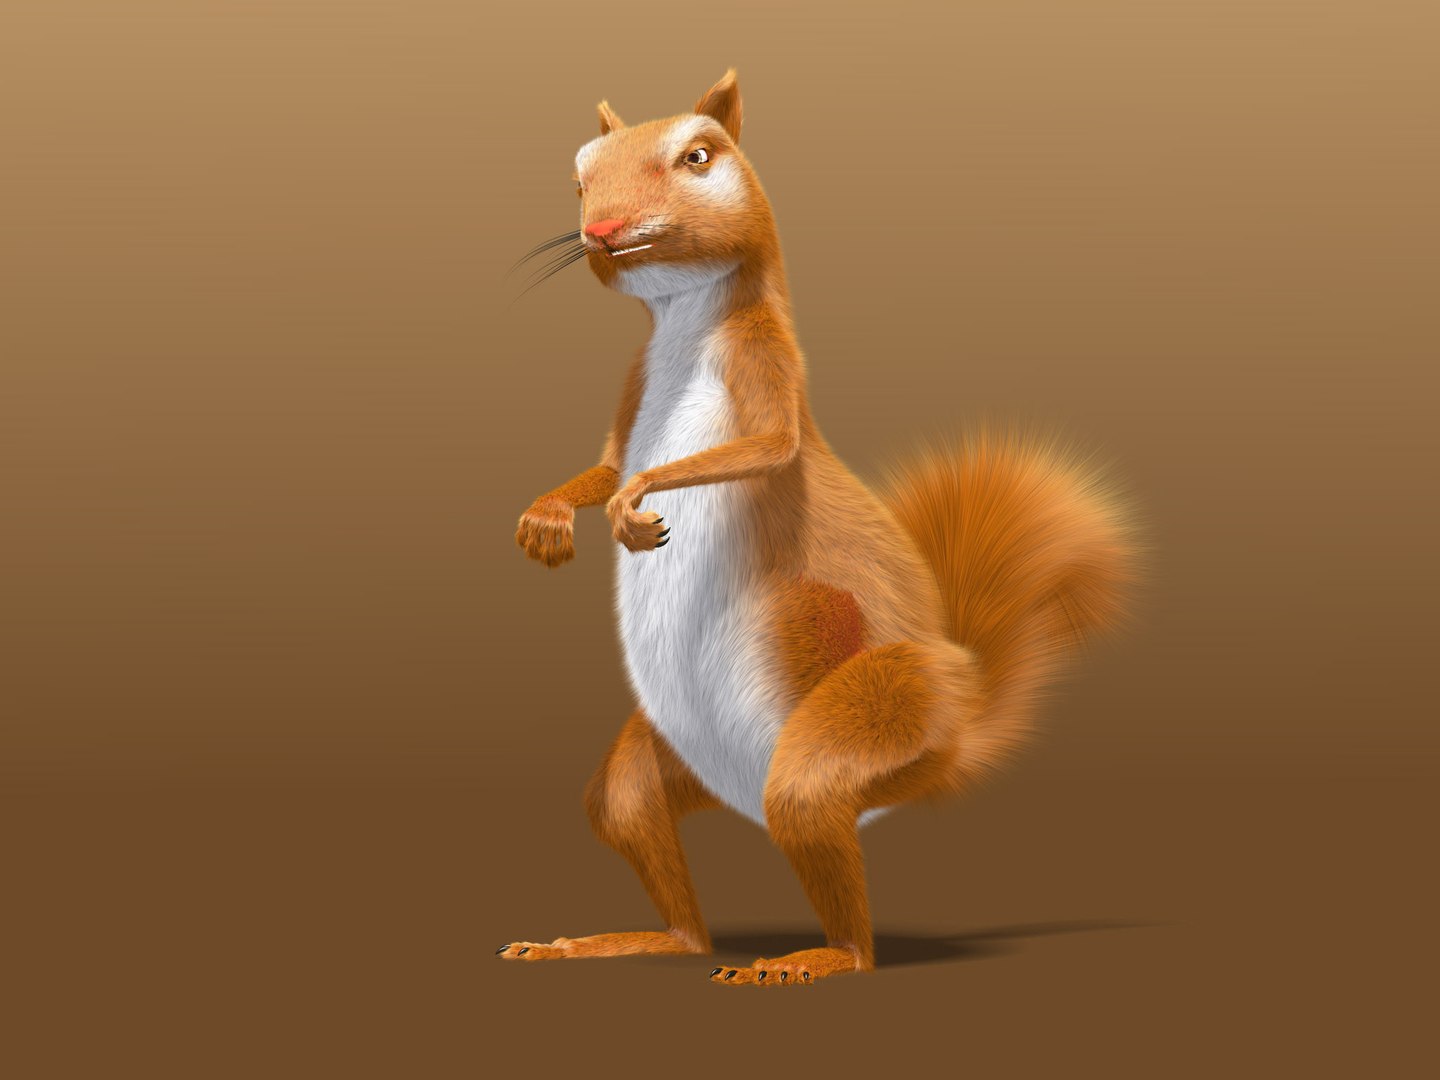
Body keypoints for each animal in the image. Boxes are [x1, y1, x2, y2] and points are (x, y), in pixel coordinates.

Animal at [499, 70, 1140, 986]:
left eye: (700, 156)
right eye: (579, 176)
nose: (602, 231)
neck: (683, 319)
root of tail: (952, 745)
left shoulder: (766, 362)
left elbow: (766, 447)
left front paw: (638, 503)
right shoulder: (631, 389)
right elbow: (608, 464)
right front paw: (549, 514)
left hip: (860, 723)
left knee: (852, 926)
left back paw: (809, 958)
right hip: (655, 772)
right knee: (645, 845)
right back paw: (621, 941)